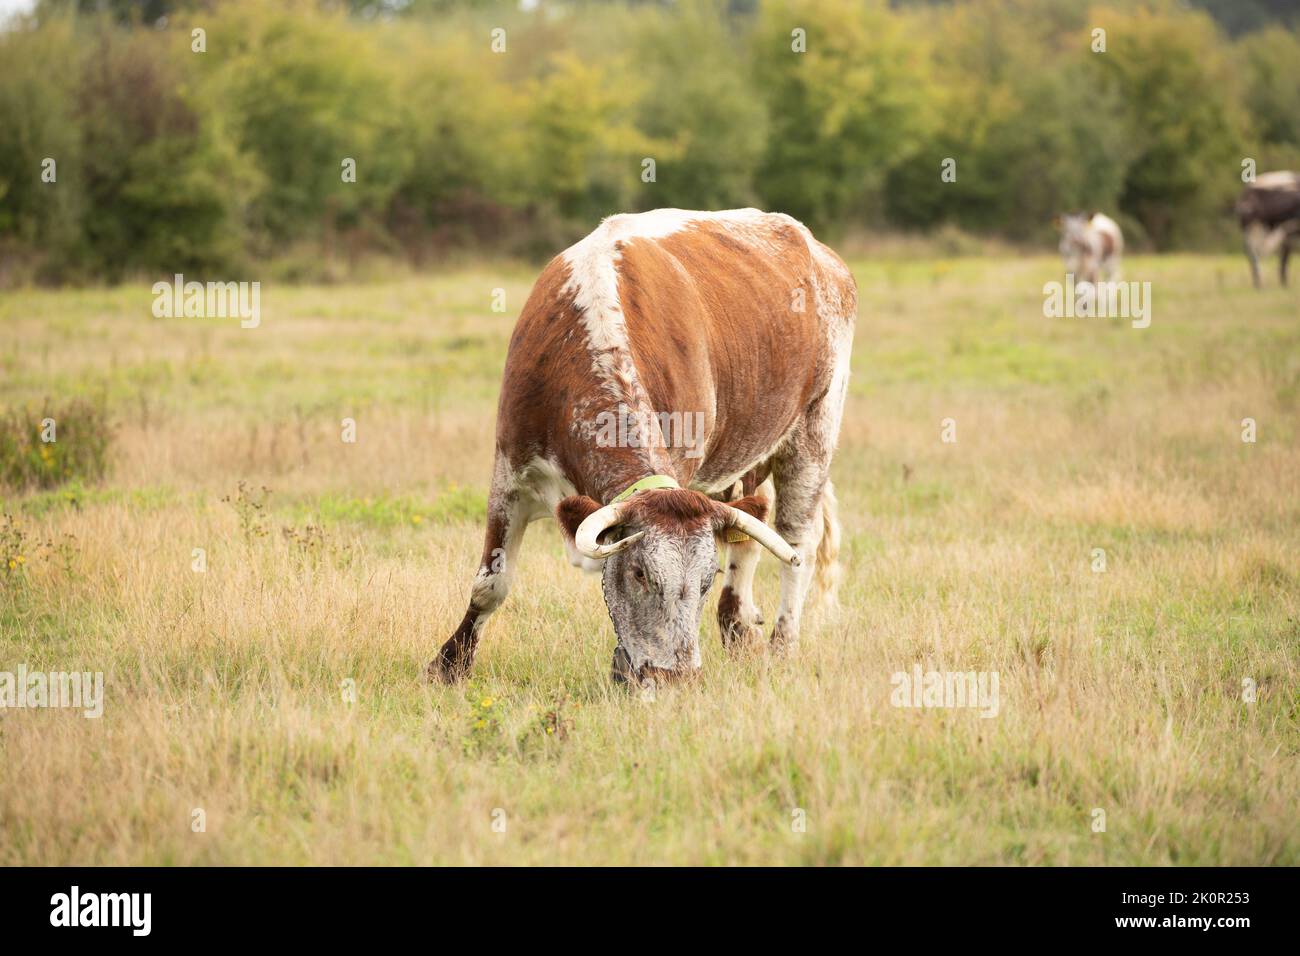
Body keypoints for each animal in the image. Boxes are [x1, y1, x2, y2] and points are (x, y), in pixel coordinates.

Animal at [429, 208, 856, 690]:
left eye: (705, 580)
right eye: (639, 573)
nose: (676, 677)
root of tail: (819, 250)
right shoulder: (509, 474)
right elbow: (491, 583)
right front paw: (449, 664)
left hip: (815, 434)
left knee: (796, 543)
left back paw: (782, 647)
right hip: (748, 454)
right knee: (751, 527)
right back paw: (739, 628)